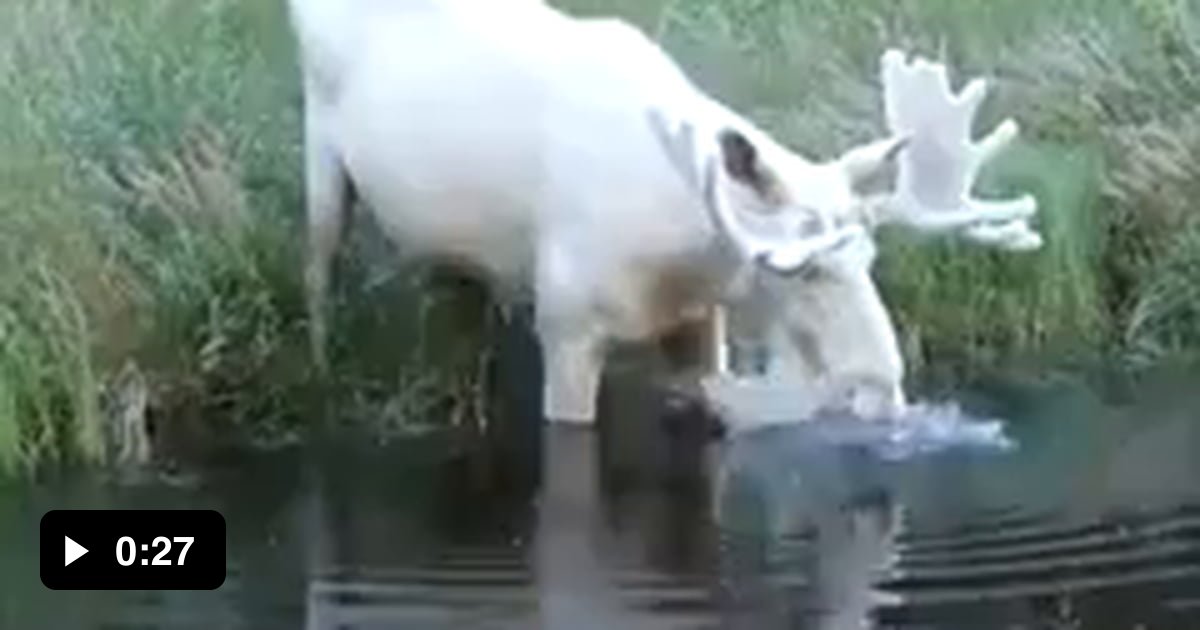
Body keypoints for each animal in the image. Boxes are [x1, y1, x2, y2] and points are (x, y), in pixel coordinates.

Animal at [286, 0, 1043, 426]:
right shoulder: (567, 323)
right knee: (316, 270)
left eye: (867, 257)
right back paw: (320, 373)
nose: (883, 384)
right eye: (799, 271)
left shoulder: (699, 319)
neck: (681, 258)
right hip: (319, 149)